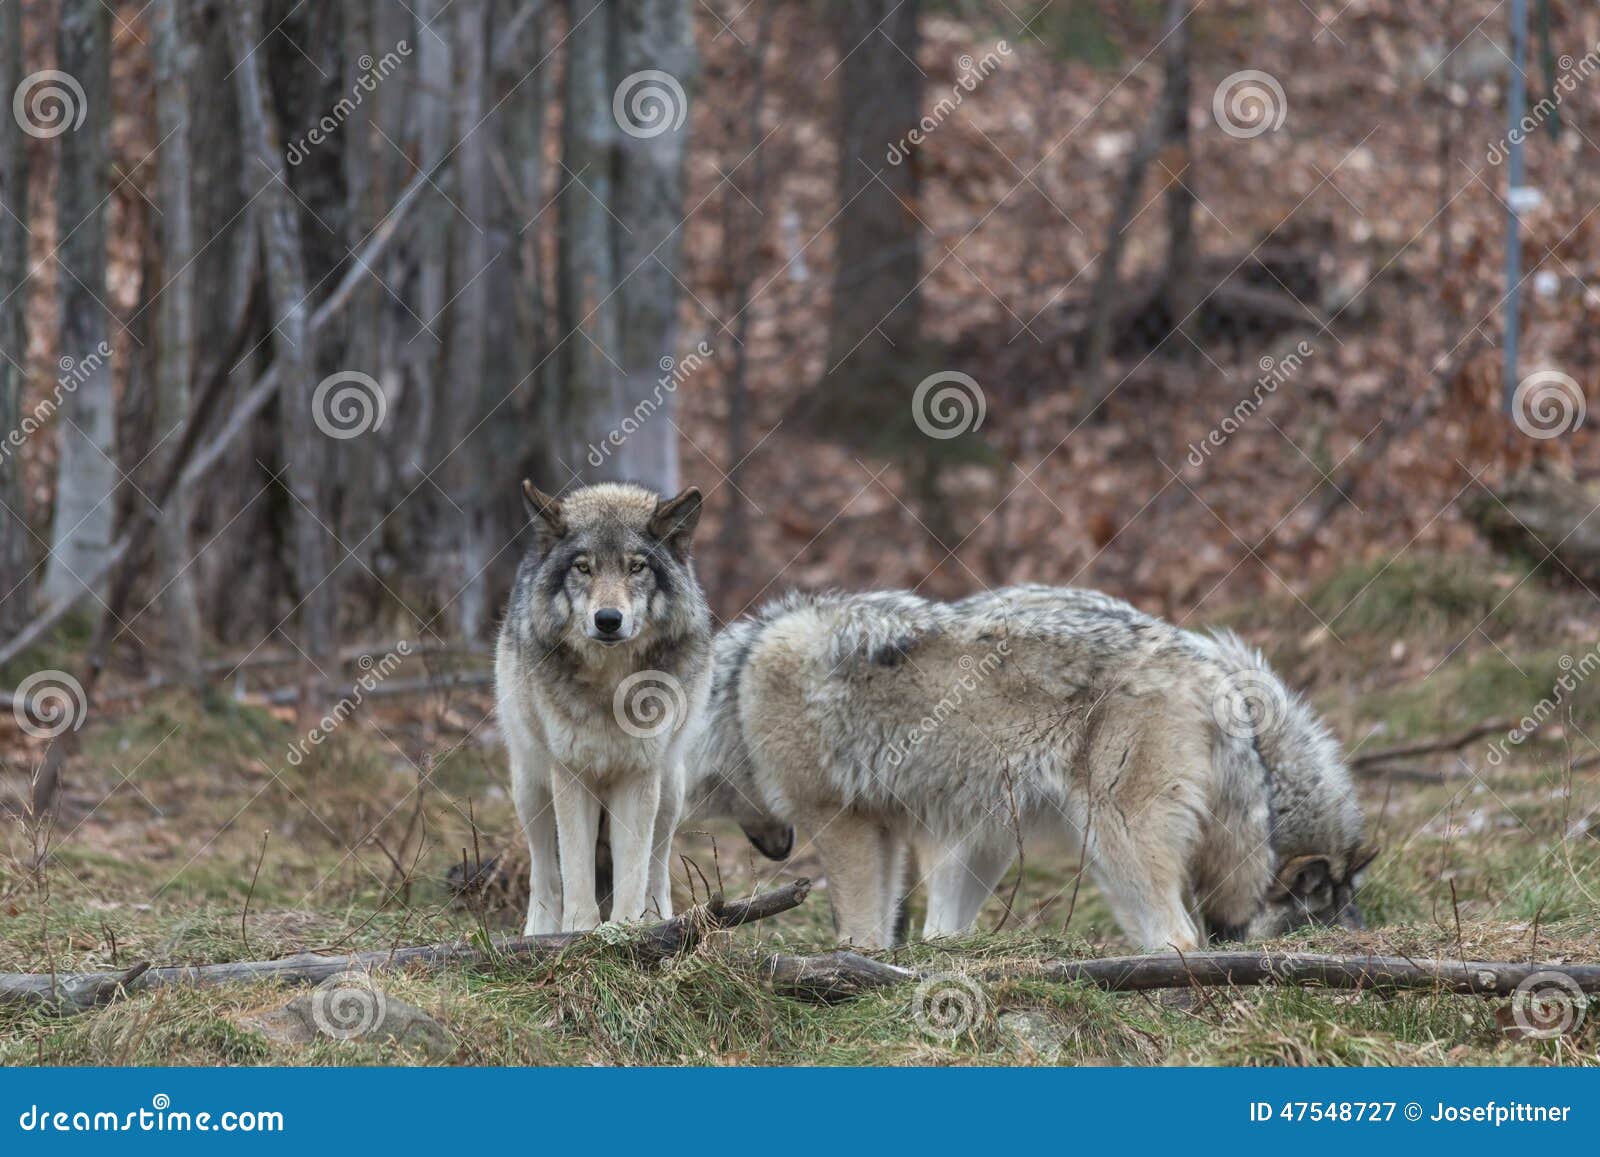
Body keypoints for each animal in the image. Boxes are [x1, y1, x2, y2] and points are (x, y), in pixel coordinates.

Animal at [495, 480, 716, 934]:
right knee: (544, 873)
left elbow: (633, 869)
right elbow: (576, 872)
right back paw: (538, 933)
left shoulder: (638, 775)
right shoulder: (571, 774)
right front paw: (578, 933)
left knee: (656, 869)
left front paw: (628, 930)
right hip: (531, 787)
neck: (612, 687)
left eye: (637, 568)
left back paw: (660, 922)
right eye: (583, 568)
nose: (608, 619)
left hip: (670, 789)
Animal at [701, 583, 1373, 951]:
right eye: (1325, 918)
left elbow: (862, 926)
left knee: (1179, 936)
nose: (1357, 939)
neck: (738, 691)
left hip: (1109, 834)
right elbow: (890, 926)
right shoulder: (887, 829)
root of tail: (1211, 671)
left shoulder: (844, 825)